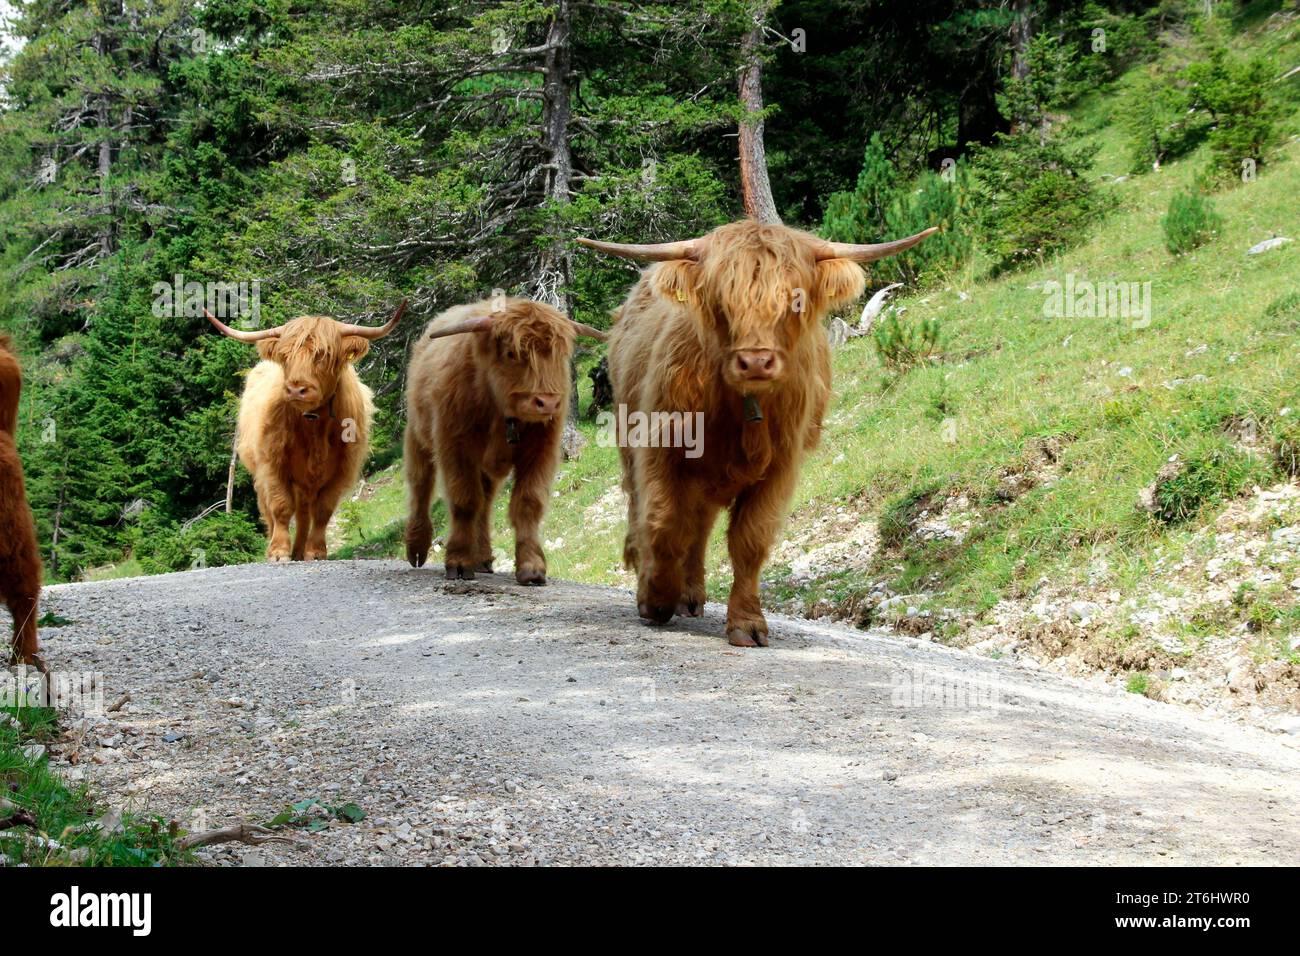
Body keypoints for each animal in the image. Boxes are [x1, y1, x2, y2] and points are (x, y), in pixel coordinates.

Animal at [206, 303, 405, 562]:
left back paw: (300, 550)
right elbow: (280, 506)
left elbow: (323, 511)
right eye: (284, 356)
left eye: (324, 355)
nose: (295, 389)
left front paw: (316, 551)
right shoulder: (273, 464)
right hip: (262, 474)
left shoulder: (341, 470)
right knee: (269, 510)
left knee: (303, 513)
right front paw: (278, 552)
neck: (313, 427)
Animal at [403, 297, 607, 585]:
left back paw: (482, 558)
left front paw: (532, 567)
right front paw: (458, 562)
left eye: (560, 354)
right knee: (420, 484)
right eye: (512, 353)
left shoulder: (541, 451)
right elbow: (464, 501)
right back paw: (417, 548)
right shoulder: (455, 447)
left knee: (486, 504)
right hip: (417, 436)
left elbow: (527, 503)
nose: (548, 402)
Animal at [578, 219, 936, 647]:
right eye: (722, 299)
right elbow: (664, 524)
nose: (756, 362)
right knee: (650, 513)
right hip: (630, 439)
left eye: (795, 300)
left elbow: (749, 540)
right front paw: (655, 597)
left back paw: (690, 594)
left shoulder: (781, 465)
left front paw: (747, 623)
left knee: (700, 523)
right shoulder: (661, 447)